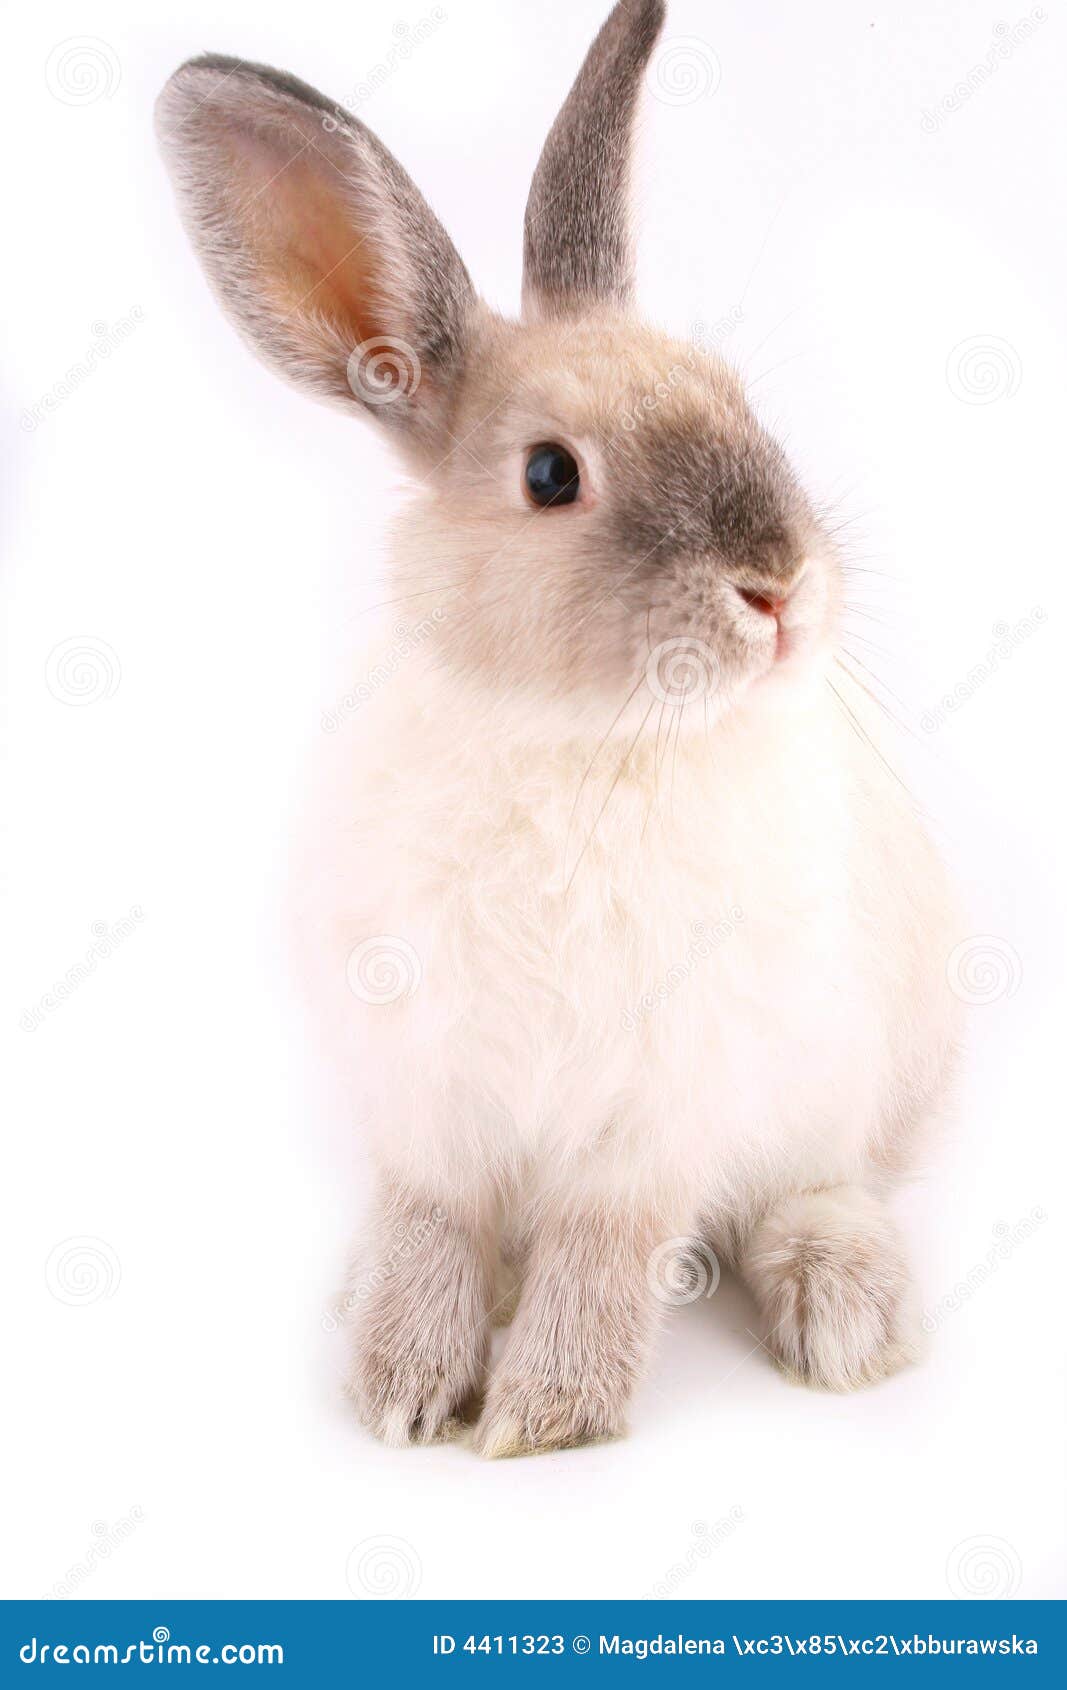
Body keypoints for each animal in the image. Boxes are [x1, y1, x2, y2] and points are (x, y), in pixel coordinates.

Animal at [156, 0, 962, 1457]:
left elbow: (602, 1248)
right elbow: (429, 1219)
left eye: (737, 399)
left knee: (823, 1180)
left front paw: (541, 1414)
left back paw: (841, 1309)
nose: (778, 586)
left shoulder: (654, 1111)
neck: (585, 740)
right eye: (548, 474)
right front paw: (401, 1386)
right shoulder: (423, 1085)